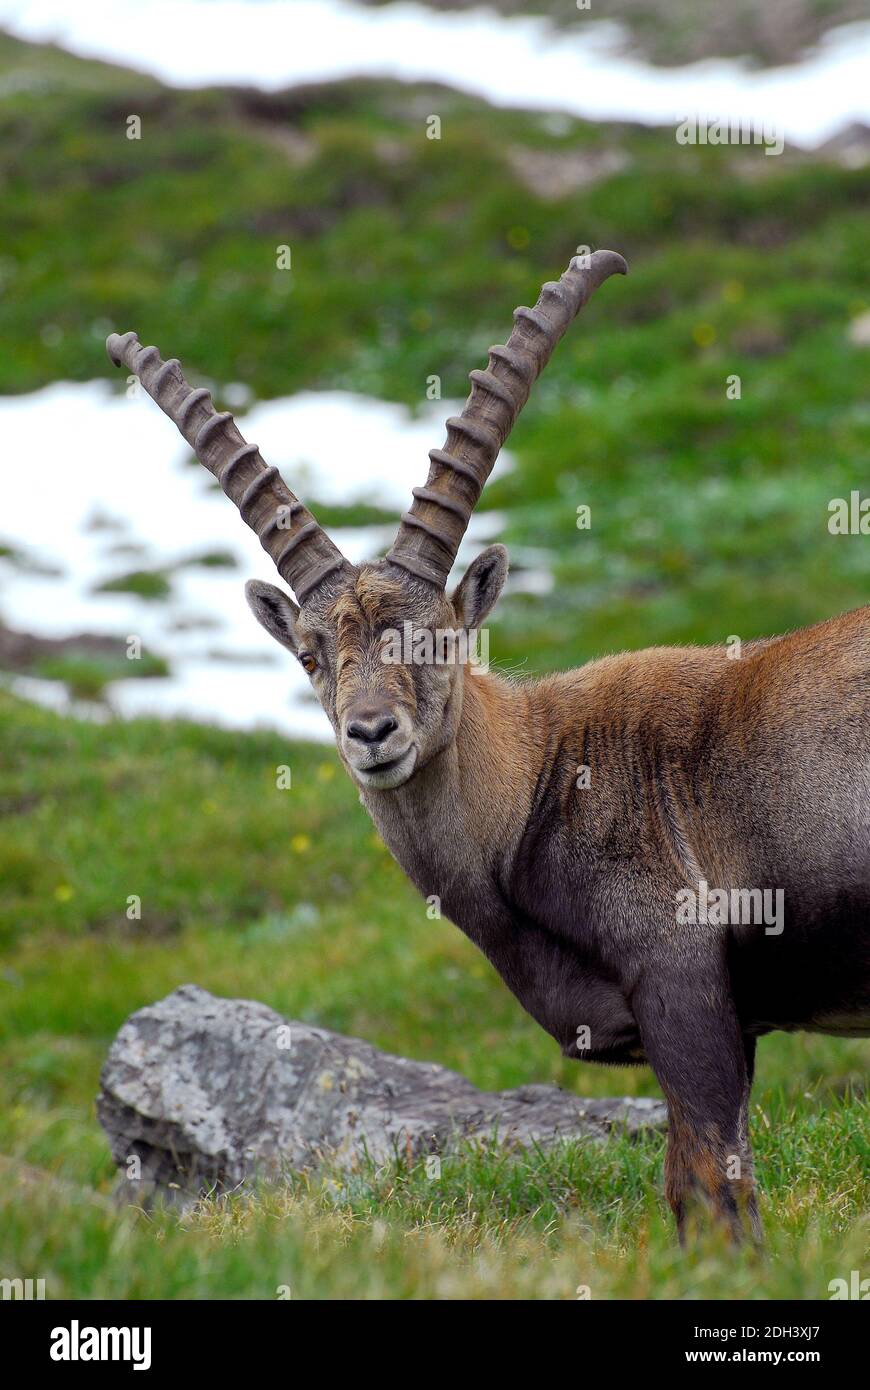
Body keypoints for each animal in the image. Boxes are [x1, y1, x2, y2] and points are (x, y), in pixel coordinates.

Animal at [108, 248, 869, 1242]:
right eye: (312, 655)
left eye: (439, 639)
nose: (372, 733)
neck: (540, 780)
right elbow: (686, 1183)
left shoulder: (685, 992)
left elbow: (715, 1187)